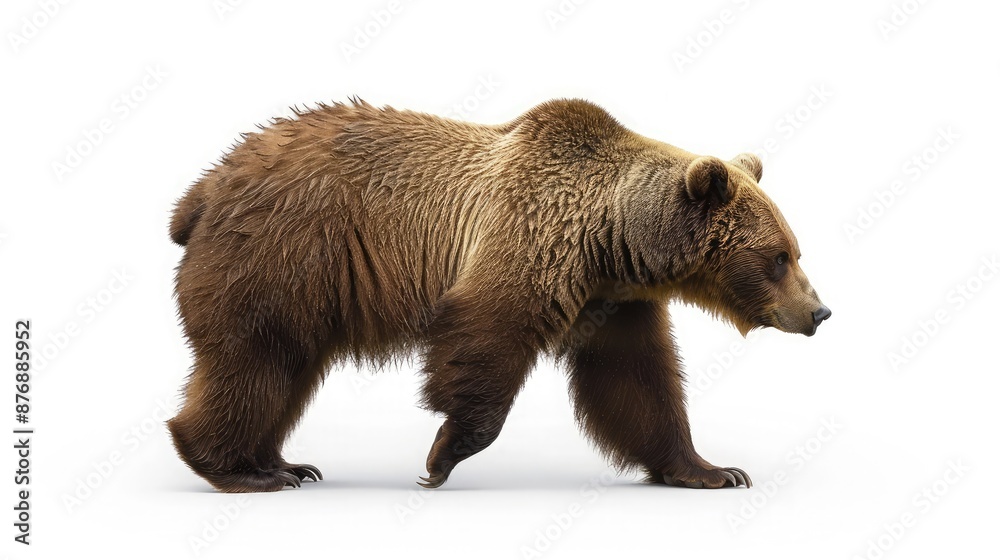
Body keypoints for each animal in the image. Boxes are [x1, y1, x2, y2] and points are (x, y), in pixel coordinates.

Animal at [167, 98, 830, 493]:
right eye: (778, 257)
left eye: (795, 250)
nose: (819, 310)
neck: (612, 237)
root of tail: (206, 185)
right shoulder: (530, 240)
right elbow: (485, 336)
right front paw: (443, 454)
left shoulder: (613, 300)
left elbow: (638, 382)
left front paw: (714, 469)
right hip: (282, 252)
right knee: (254, 359)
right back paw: (235, 468)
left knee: (283, 369)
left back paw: (283, 463)